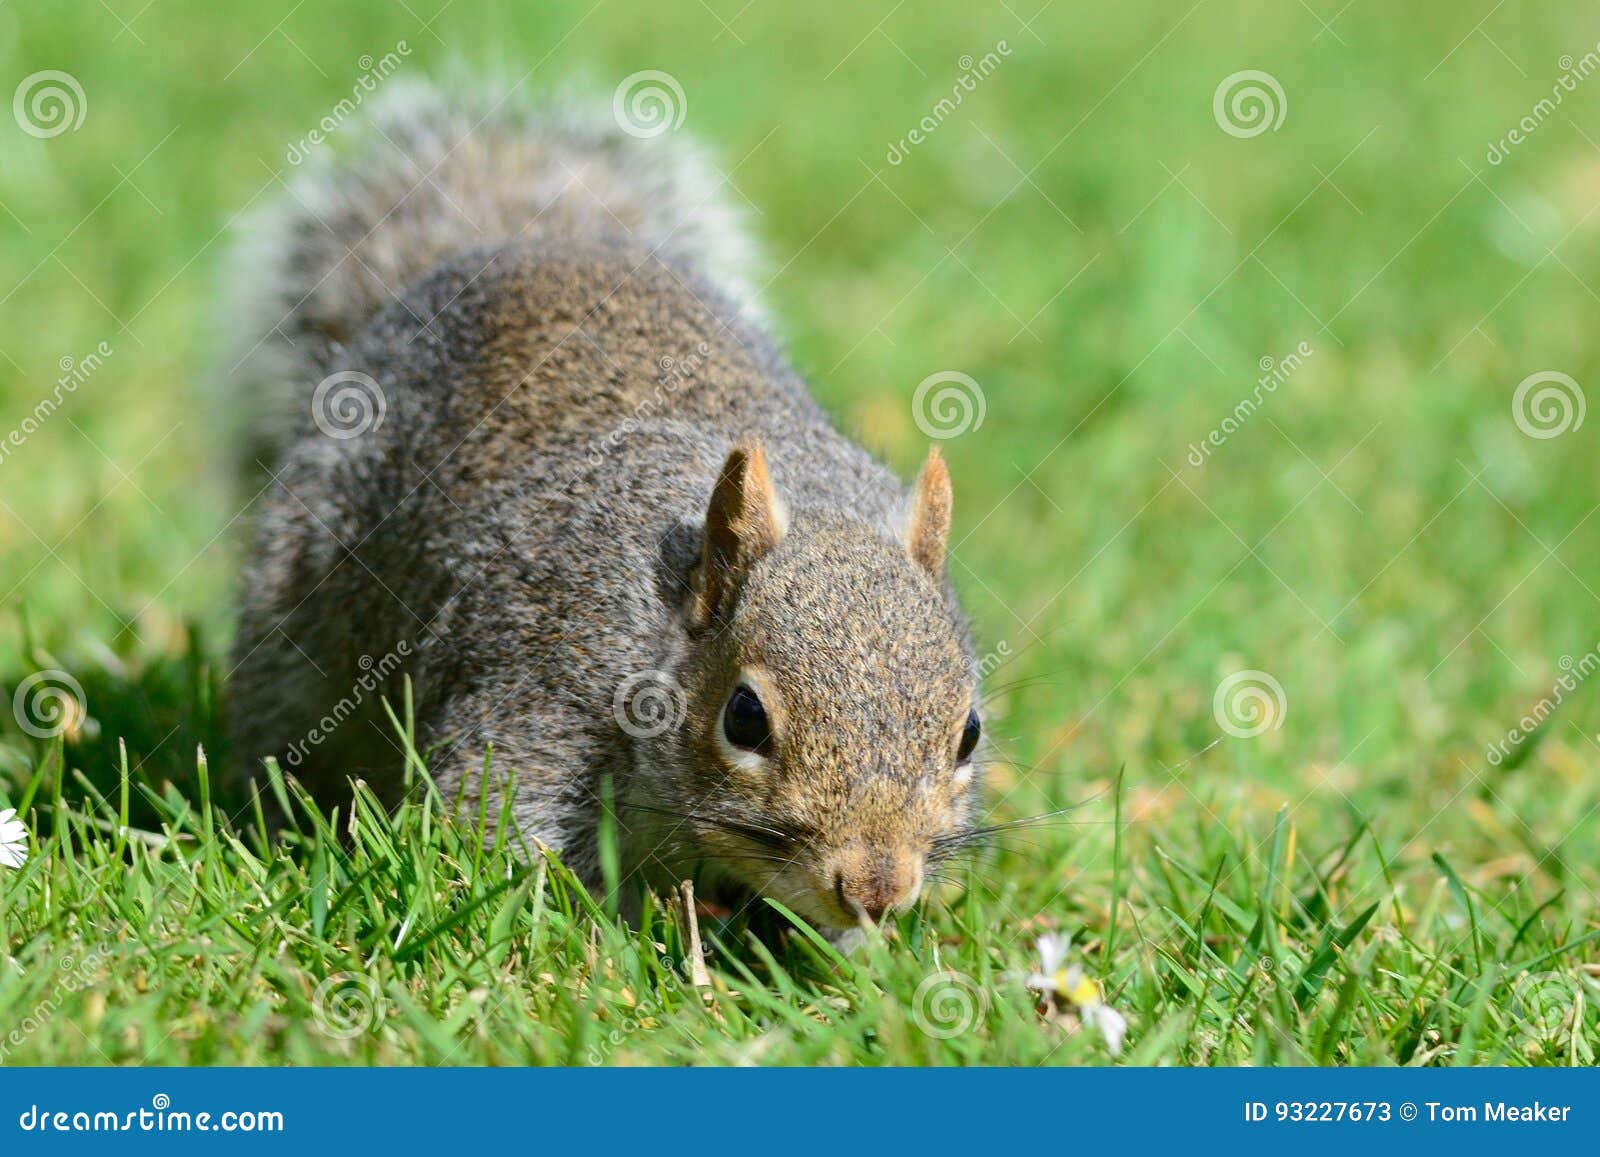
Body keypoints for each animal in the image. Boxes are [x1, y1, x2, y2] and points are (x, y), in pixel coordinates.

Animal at [224, 78, 984, 934]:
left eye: (969, 733)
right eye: (744, 717)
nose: (876, 890)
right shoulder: (542, 687)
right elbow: (495, 826)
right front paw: (607, 931)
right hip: (298, 624)